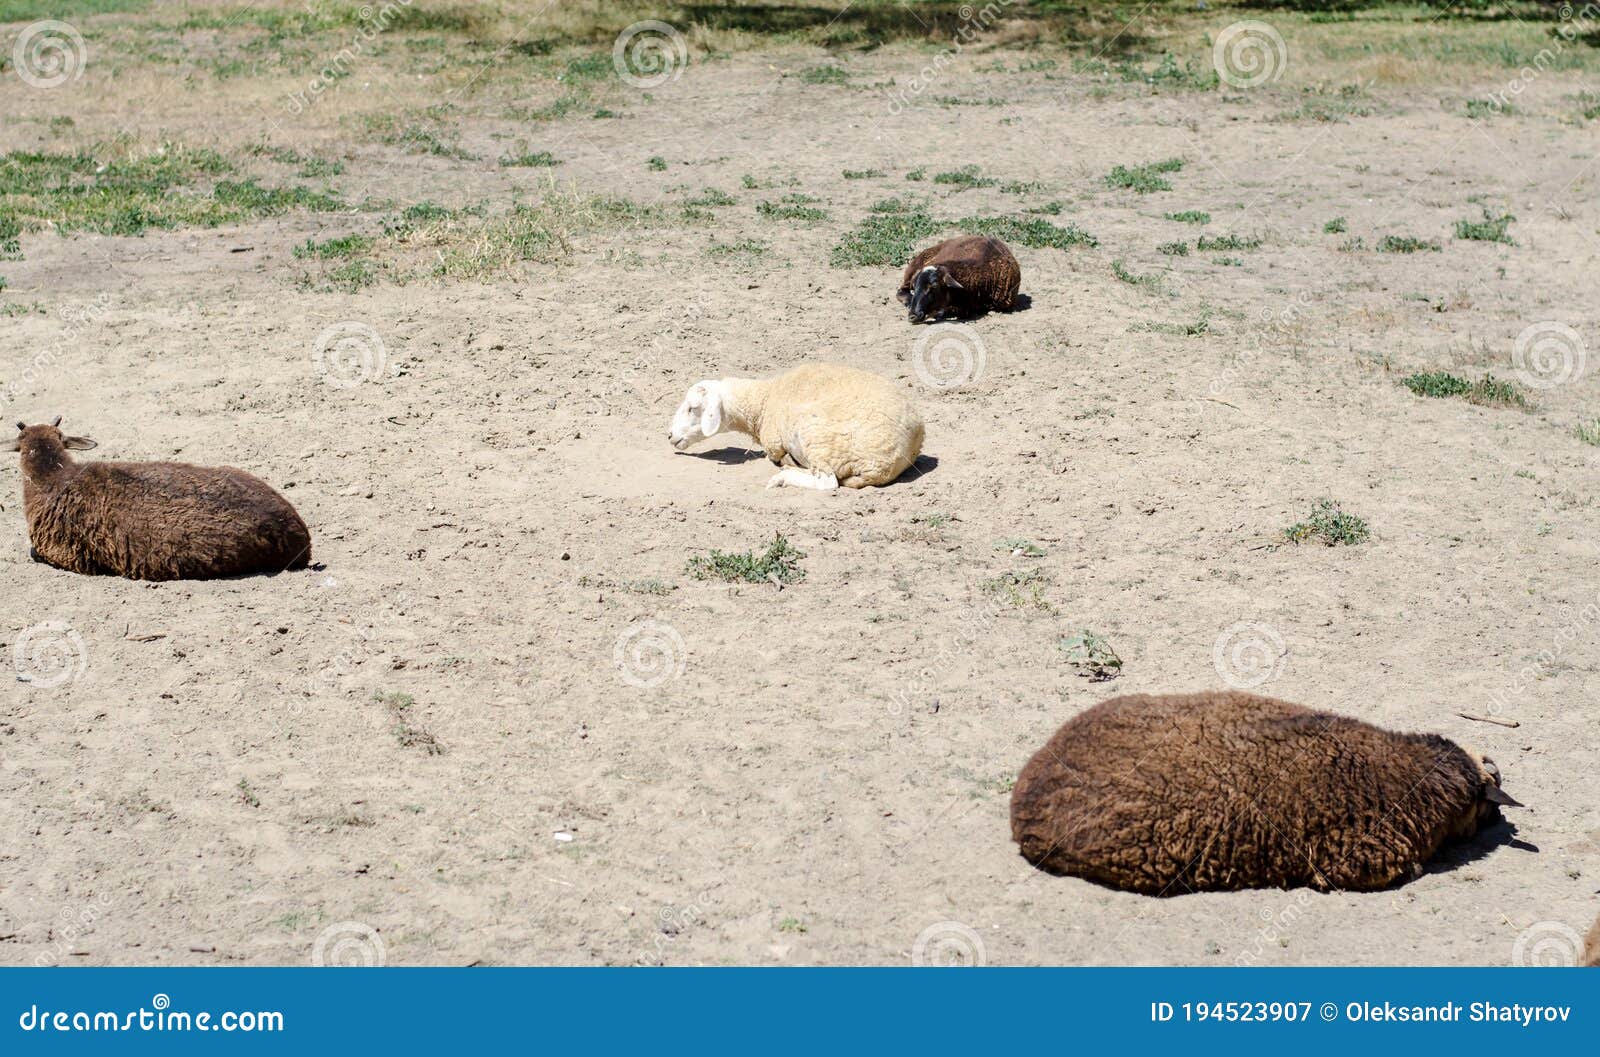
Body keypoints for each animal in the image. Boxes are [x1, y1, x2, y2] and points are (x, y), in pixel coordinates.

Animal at [667, 363, 924, 490]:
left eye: (692, 408)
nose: (669, 435)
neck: (763, 401)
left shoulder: (775, 444)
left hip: (819, 440)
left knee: (827, 482)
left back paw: (784, 477)